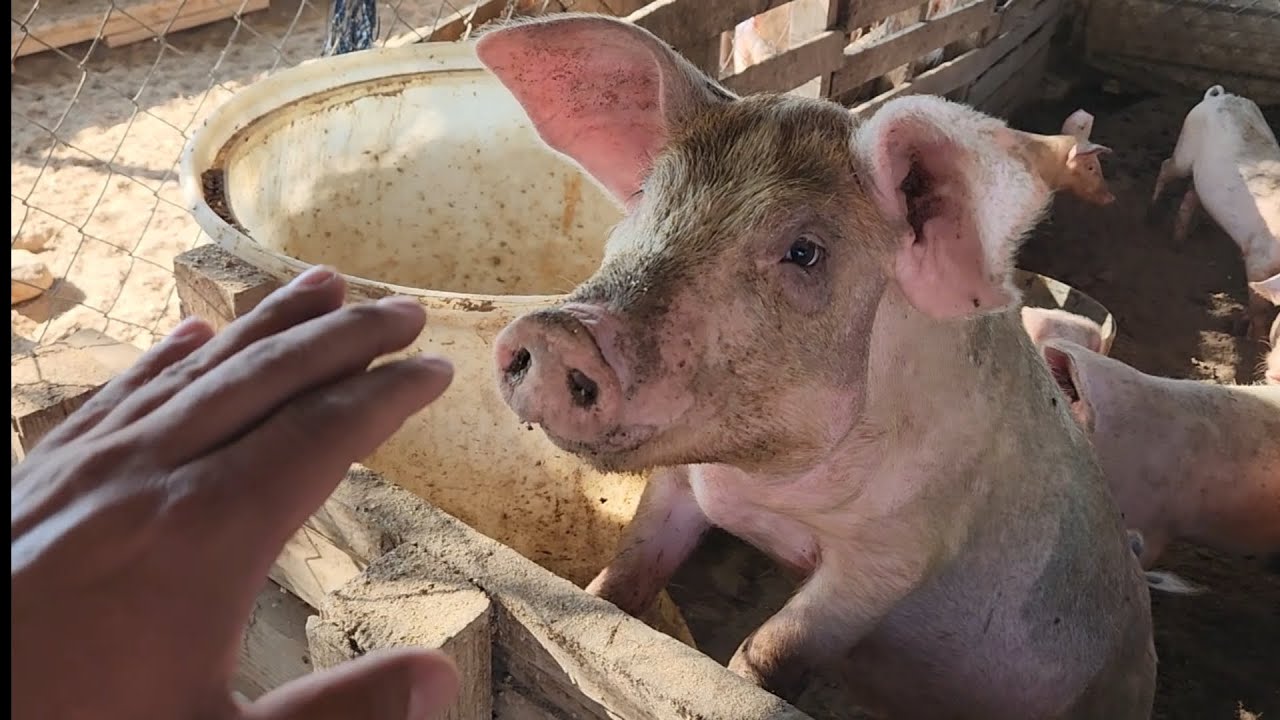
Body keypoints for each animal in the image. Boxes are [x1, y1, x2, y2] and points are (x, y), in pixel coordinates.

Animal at [476, 14, 1155, 719]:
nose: (556, 331)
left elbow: (772, 647)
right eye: (644, 202)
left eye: (804, 252)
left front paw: (745, 681)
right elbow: (626, 574)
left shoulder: (897, 555)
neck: (763, 485)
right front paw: (601, 598)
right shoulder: (680, 484)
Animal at [1152, 84, 1280, 342]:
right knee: (1167, 166)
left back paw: (1178, 243)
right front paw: (1255, 340)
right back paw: (1152, 210)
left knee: (1190, 196)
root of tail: (1219, 96)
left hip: (1201, 180)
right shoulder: (1258, 259)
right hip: (1185, 146)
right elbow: (1259, 304)